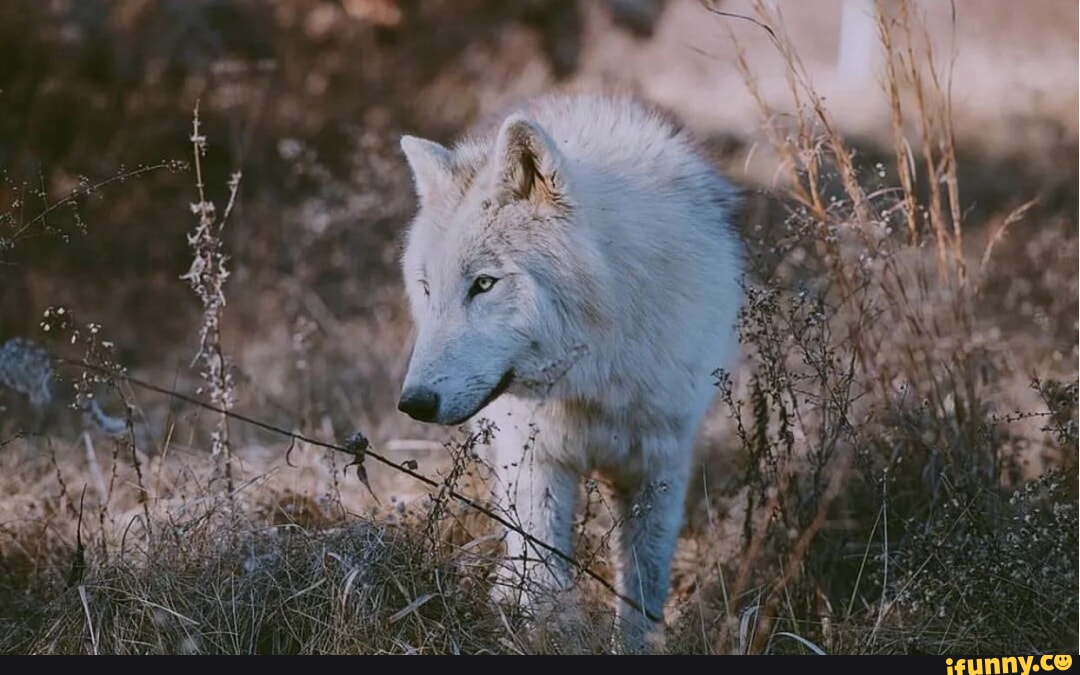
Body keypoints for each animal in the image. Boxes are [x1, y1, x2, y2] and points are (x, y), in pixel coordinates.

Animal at [396, 93, 743, 651]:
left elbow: (643, 583)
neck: (596, 373)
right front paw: (544, 631)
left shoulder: (660, 463)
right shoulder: (537, 460)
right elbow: (541, 576)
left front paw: (634, 643)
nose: (414, 403)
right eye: (428, 289)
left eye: (484, 283)